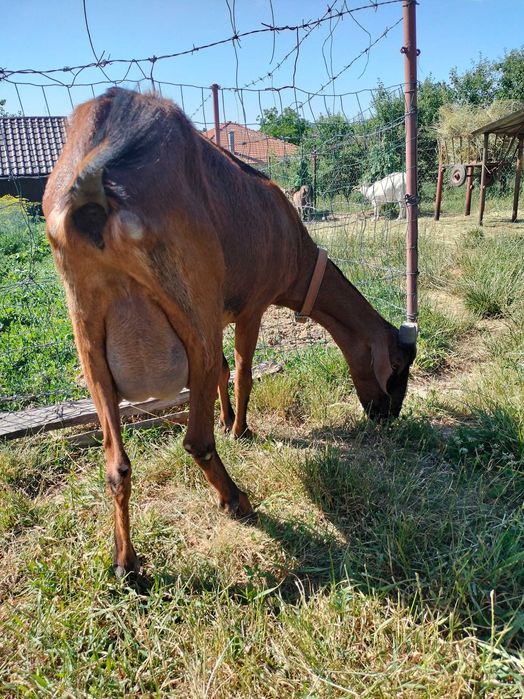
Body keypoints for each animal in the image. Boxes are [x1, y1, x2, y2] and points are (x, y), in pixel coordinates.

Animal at [43, 88, 415, 577]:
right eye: (397, 368)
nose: (387, 416)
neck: (296, 251)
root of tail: (94, 174)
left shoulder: (218, 312)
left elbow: (223, 370)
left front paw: (227, 419)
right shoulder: (251, 307)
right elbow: (242, 371)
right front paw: (240, 429)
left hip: (90, 335)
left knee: (117, 464)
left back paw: (127, 563)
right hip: (189, 312)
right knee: (196, 440)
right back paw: (237, 500)